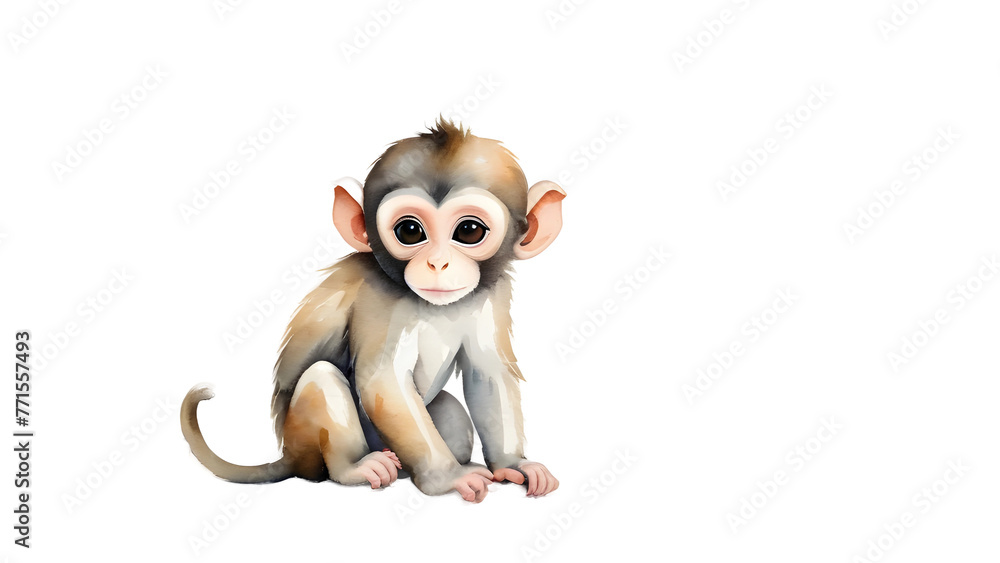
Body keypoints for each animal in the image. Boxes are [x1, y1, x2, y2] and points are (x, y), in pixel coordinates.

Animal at [181, 119, 564, 503]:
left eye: (469, 231)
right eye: (409, 231)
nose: (438, 264)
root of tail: (288, 456)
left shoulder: (492, 294)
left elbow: (487, 374)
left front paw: (513, 465)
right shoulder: (380, 301)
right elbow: (383, 382)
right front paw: (447, 479)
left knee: (451, 412)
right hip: (306, 447)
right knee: (322, 378)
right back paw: (353, 468)